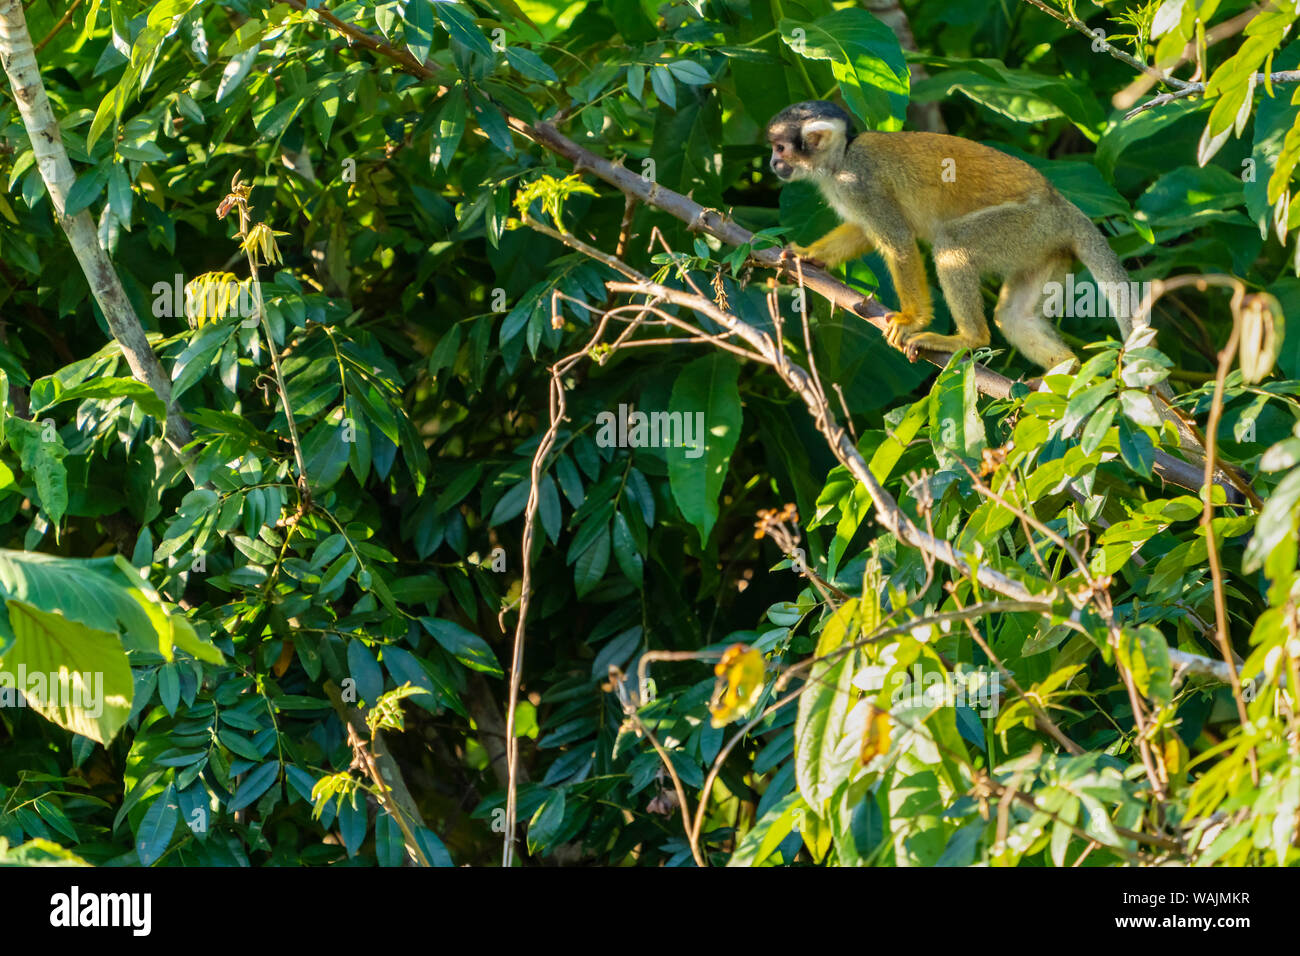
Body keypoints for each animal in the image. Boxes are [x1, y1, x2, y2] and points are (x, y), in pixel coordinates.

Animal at [766, 100, 1145, 370]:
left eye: (780, 148)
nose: (771, 164)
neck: (840, 158)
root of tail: (1062, 206)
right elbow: (863, 232)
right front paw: (808, 255)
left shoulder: (857, 182)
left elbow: (898, 240)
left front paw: (911, 320)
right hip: (1045, 248)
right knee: (1013, 317)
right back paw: (1065, 375)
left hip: (1028, 225)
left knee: (952, 244)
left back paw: (969, 340)